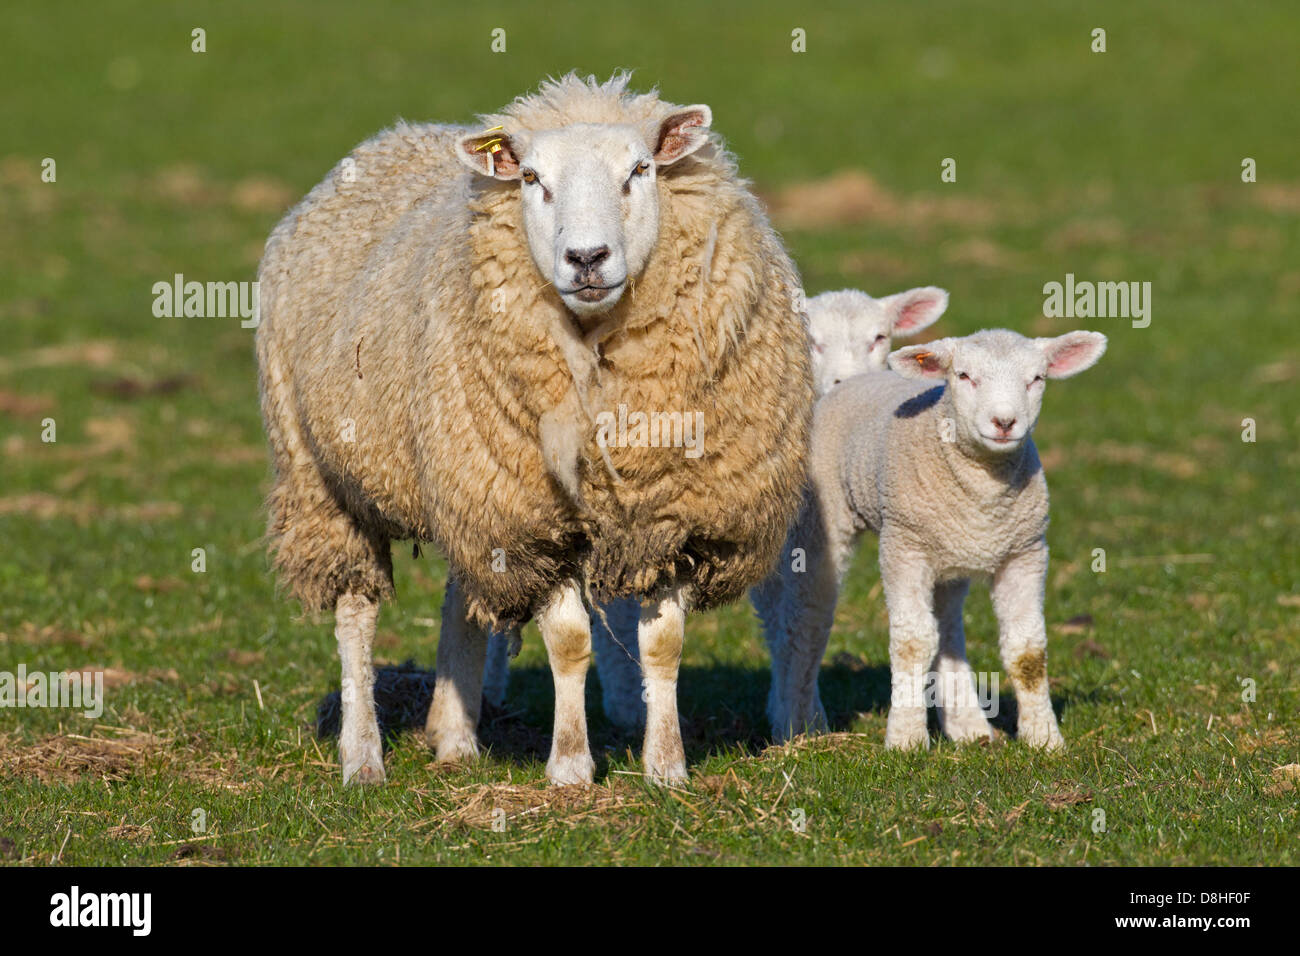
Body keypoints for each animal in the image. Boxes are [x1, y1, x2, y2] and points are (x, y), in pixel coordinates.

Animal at [255, 73, 813, 786]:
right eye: (530, 178)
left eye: (640, 170)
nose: (587, 257)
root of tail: (392, 137)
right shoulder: (536, 522)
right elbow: (570, 642)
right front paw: (570, 766)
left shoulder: (670, 509)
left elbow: (664, 644)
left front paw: (666, 768)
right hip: (322, 476)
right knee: (355, 612)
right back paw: (362, 757)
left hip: (470, 482)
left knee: (460, 594)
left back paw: (453, 736)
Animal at [481, 284, 948, 731]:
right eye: (813, 340)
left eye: (880, 337)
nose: (848, 384)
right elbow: (787, 620)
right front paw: (797, 717)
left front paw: (789, 709)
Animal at [761, 328, 1106, 747]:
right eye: (963, 376)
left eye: (1036, 379)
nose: (1004, 421)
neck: (985, 494)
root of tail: (854, 379)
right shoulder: (905, 547)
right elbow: (913, 643)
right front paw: (906, 739)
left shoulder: (1025, 553)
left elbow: (1027, 650)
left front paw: (1044, 738)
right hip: (819, 524)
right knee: (806, 621)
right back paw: (799, 726)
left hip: (949, 559)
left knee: (948, 630)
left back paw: (970, 727)